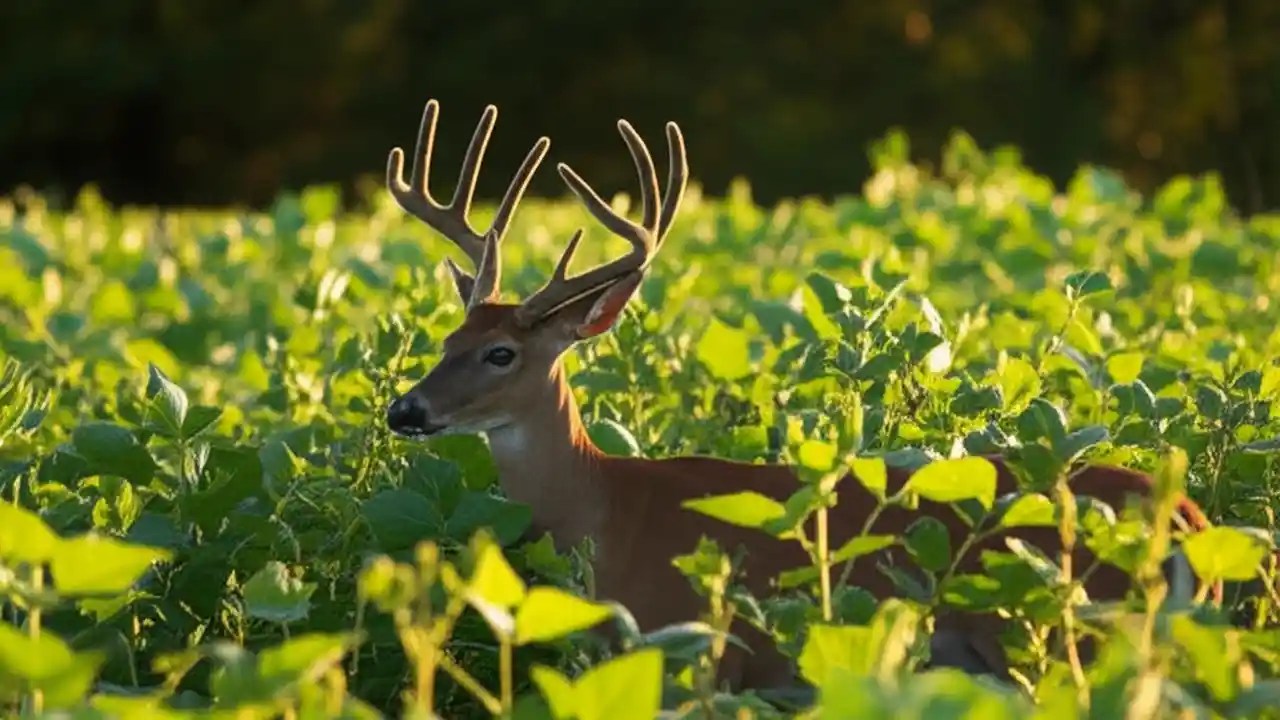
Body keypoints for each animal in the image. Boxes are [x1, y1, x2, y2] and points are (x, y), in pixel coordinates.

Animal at [381, 99, 1219, 692]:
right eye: (444, 343)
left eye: (501, 354)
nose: (404, 409)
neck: (607, 512)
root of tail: (1188, 518)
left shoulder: (705, 649)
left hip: (1059, 629)